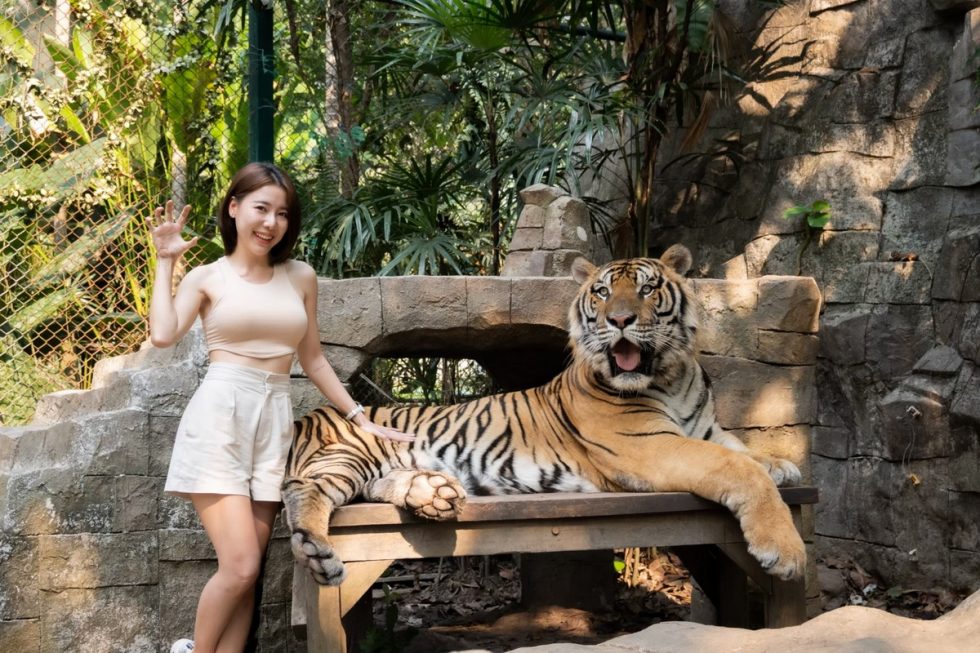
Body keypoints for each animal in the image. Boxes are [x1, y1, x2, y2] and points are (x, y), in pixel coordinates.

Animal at [282, 244, 806, 586]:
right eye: (601, 293)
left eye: (647, 289)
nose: (619, 320)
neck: (670, 375)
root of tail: (306, 418)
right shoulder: (650, 445)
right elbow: (737, 467)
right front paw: (786, 552)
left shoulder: (705, 429)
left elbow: (746, 451)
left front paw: (784, 466)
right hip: (347, 455)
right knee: (305, 493)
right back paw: (317, 552)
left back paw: (433, 493)